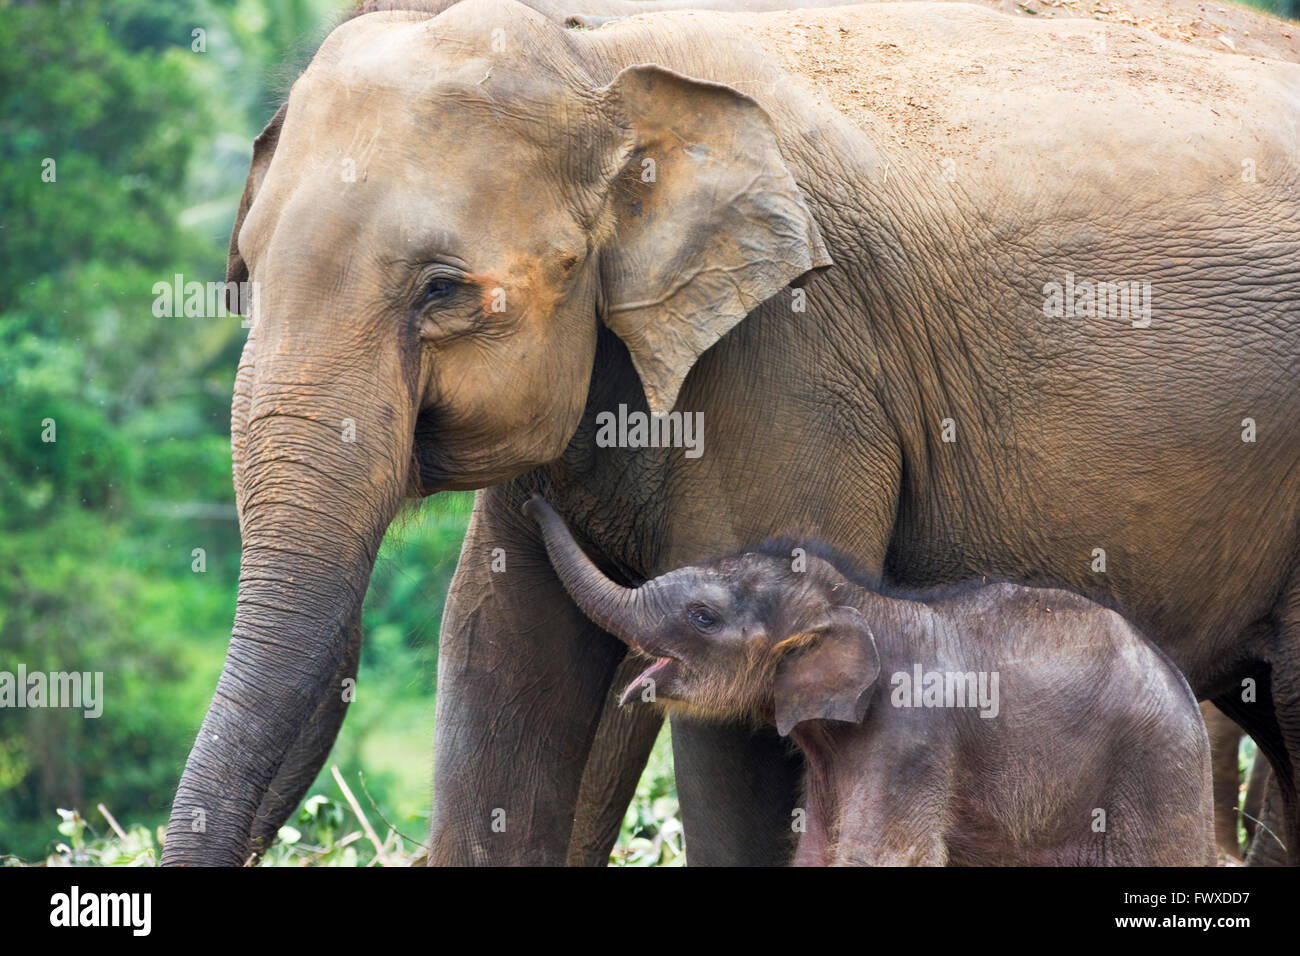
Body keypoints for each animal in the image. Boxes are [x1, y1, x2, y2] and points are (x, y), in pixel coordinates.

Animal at [523, 494, 1217, 865]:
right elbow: (815, 852)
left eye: (702, 617)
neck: (862, 602)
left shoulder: (906, 743)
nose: (532, 501)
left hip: (1156, 773)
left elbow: (883, 856)